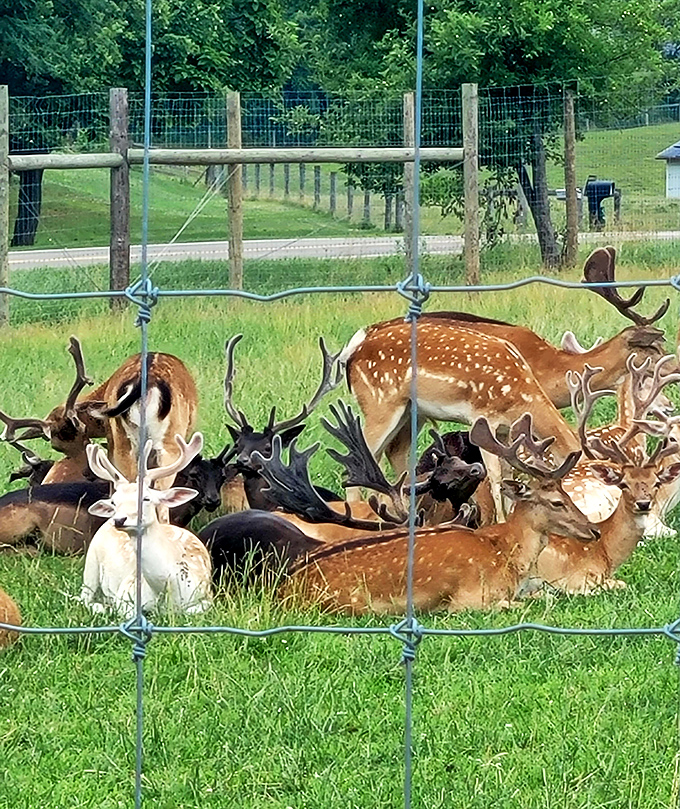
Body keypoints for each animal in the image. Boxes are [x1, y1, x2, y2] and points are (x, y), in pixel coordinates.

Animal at [81, 433, 212, 617]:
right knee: (83, 597)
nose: (119, 519)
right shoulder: (127, 590)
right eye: (114, 501)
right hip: (91, 561)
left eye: (146, 498)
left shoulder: (208, 595)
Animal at [280, 414, 600, 615]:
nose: (593, 530)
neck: (504, 554)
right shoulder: (470, 598)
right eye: (557, 502)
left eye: (568, 494)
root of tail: (285, 589)